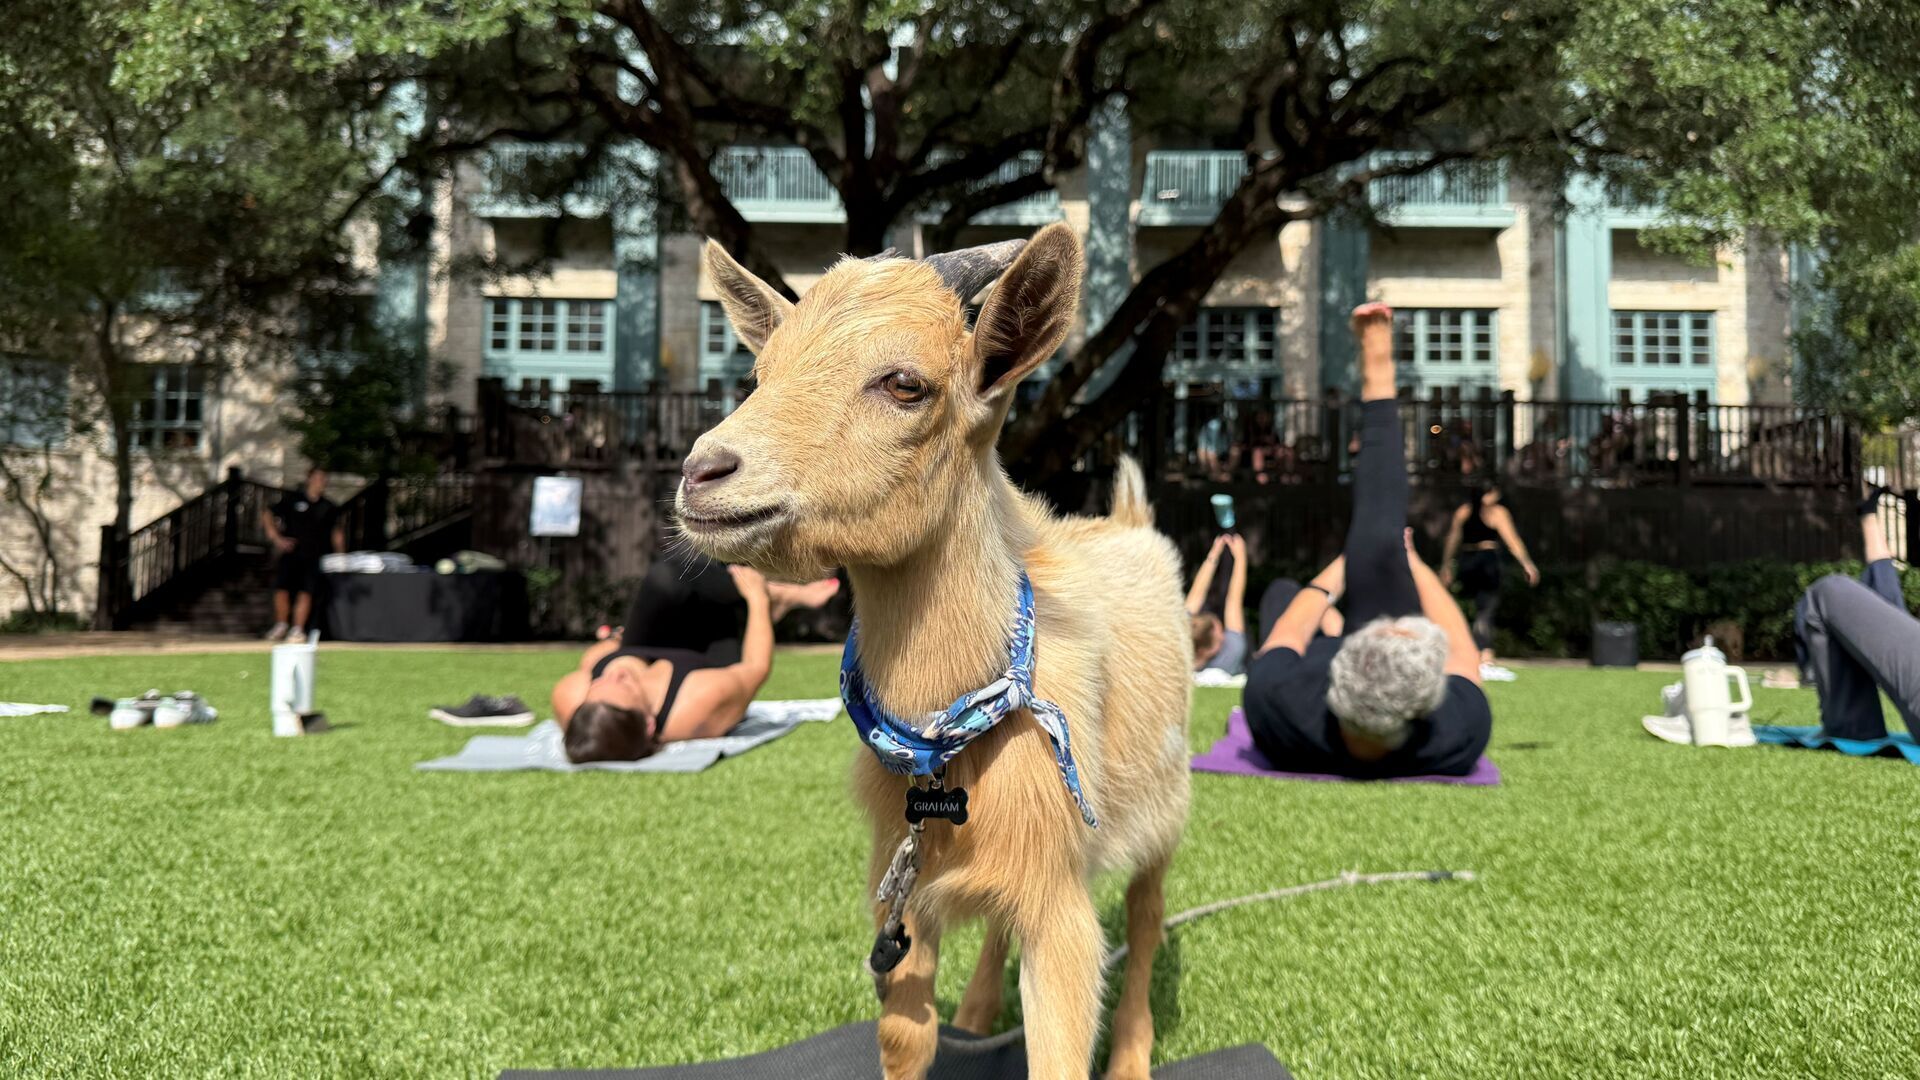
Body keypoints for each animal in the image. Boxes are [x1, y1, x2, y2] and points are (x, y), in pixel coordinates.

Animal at [676, 222, 1192, 1080]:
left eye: (904, 383)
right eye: (760, 373)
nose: (702, 472)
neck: (951, 726)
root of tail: (1128, 520)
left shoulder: (1062, 900)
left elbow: (1059, 1045)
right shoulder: (904, 895)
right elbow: (905, 1037)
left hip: (1168, 802)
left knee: (1148, 914)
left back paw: (1129, 1055)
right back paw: (979, 1012)